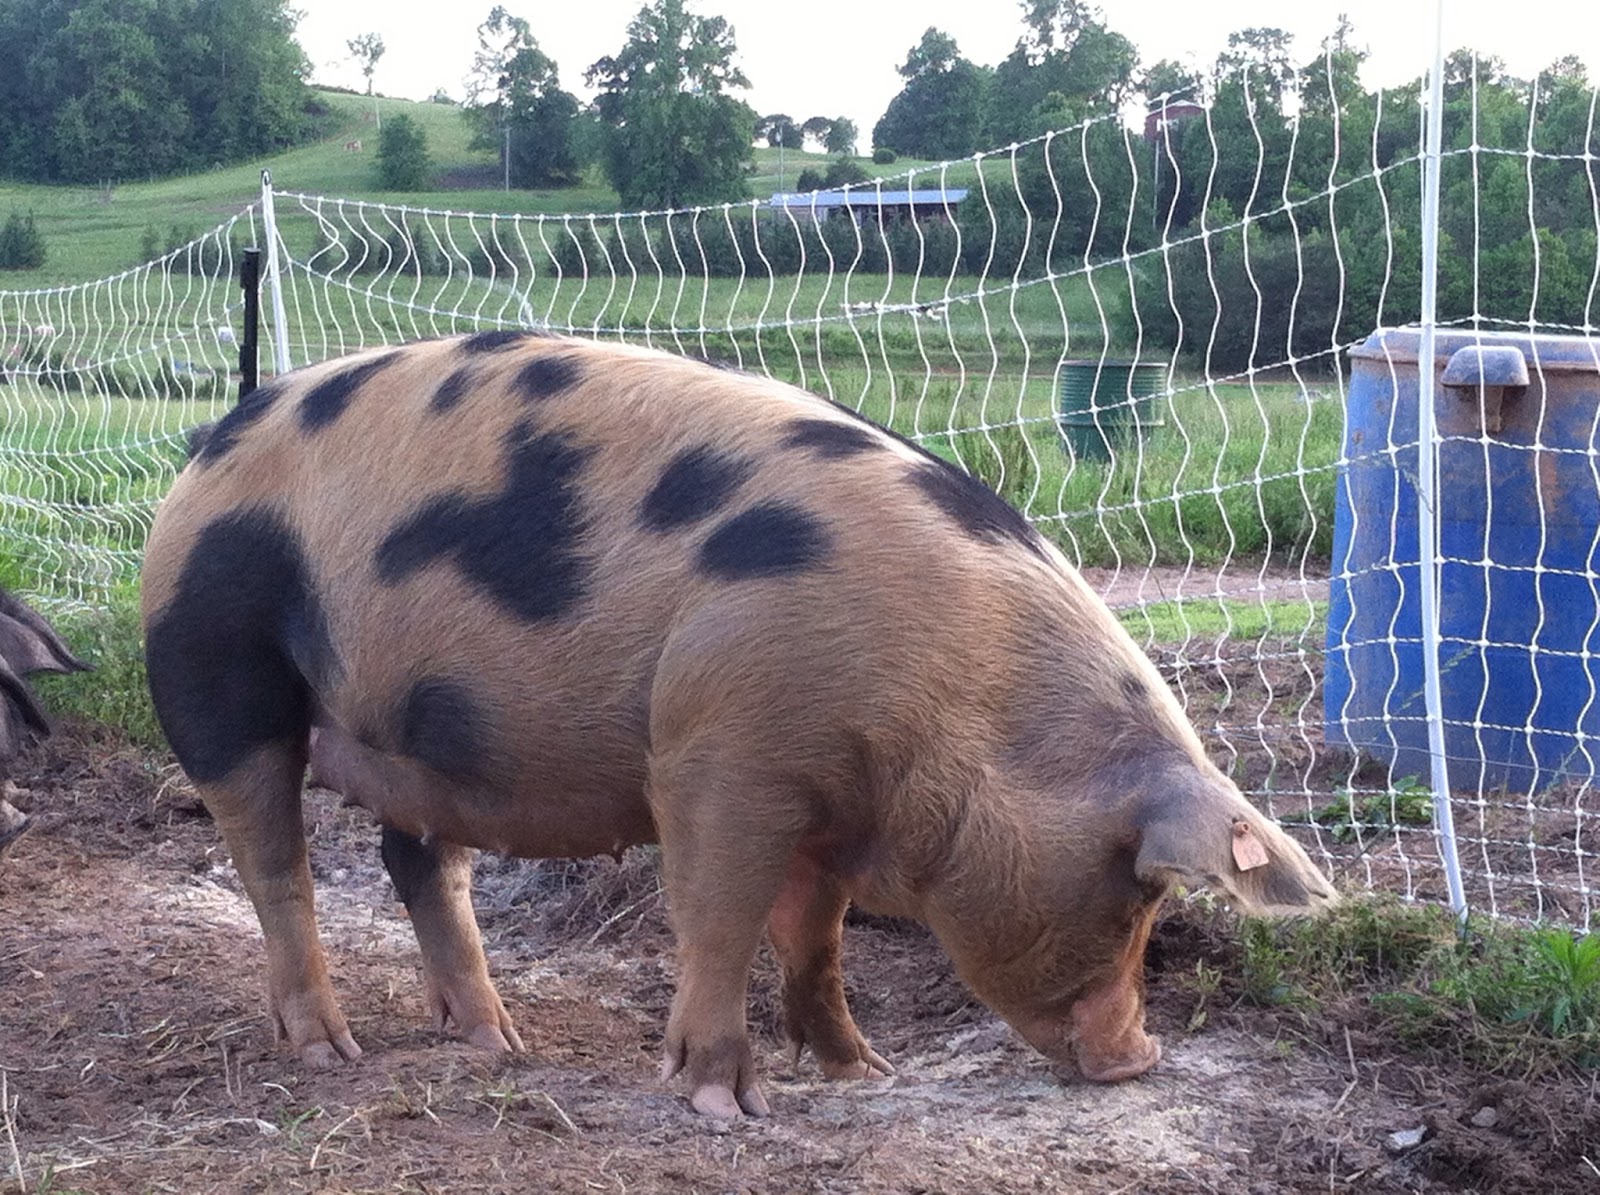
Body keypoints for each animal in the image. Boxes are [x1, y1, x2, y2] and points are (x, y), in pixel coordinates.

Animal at [140, 331, 1336, 1118]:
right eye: (1142, 895)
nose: (1141, 1058)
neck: (966, 703)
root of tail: (207, 443)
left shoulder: (826, 798)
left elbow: (815, 938)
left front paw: (861, 1072)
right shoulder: (719, 754)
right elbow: (720, 916)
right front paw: (723, 1104)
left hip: (427, 736)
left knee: (419, 860)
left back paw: (496, 1042)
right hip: (213, 661)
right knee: (274, 859)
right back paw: (328, 1053)